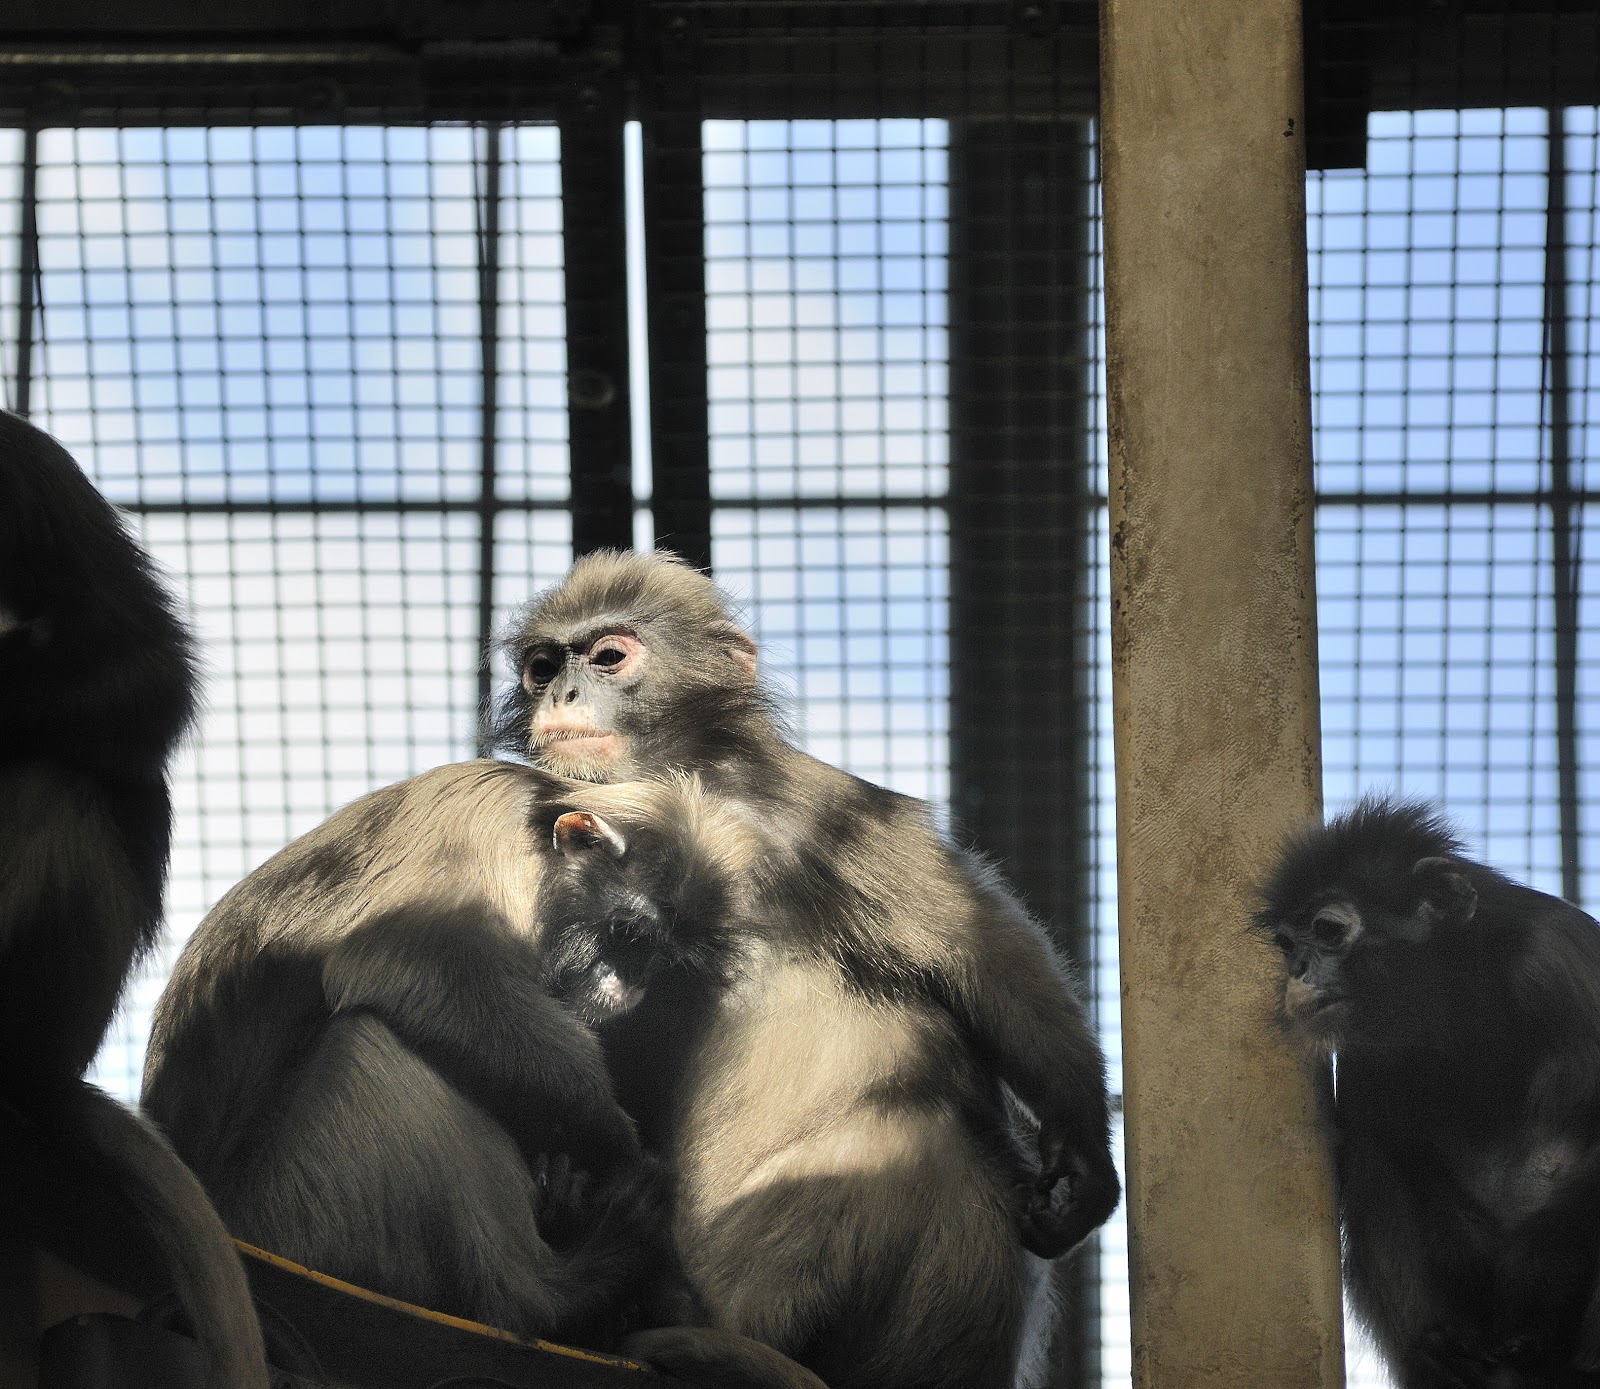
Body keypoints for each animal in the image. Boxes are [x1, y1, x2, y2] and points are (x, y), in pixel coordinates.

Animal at [495, 548, 1122, 1389]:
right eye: (541, 665)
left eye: (608, 657)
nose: (559, 692)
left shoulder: (808, 804)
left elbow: (976, 943)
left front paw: (1083, 1153)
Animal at [1254, 794, 1600, 1389]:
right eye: (1287, 944)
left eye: (1327, 930)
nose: (1297, 970)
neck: (1463, 1004)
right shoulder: (1367, 1060)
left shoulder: (1561, 962)